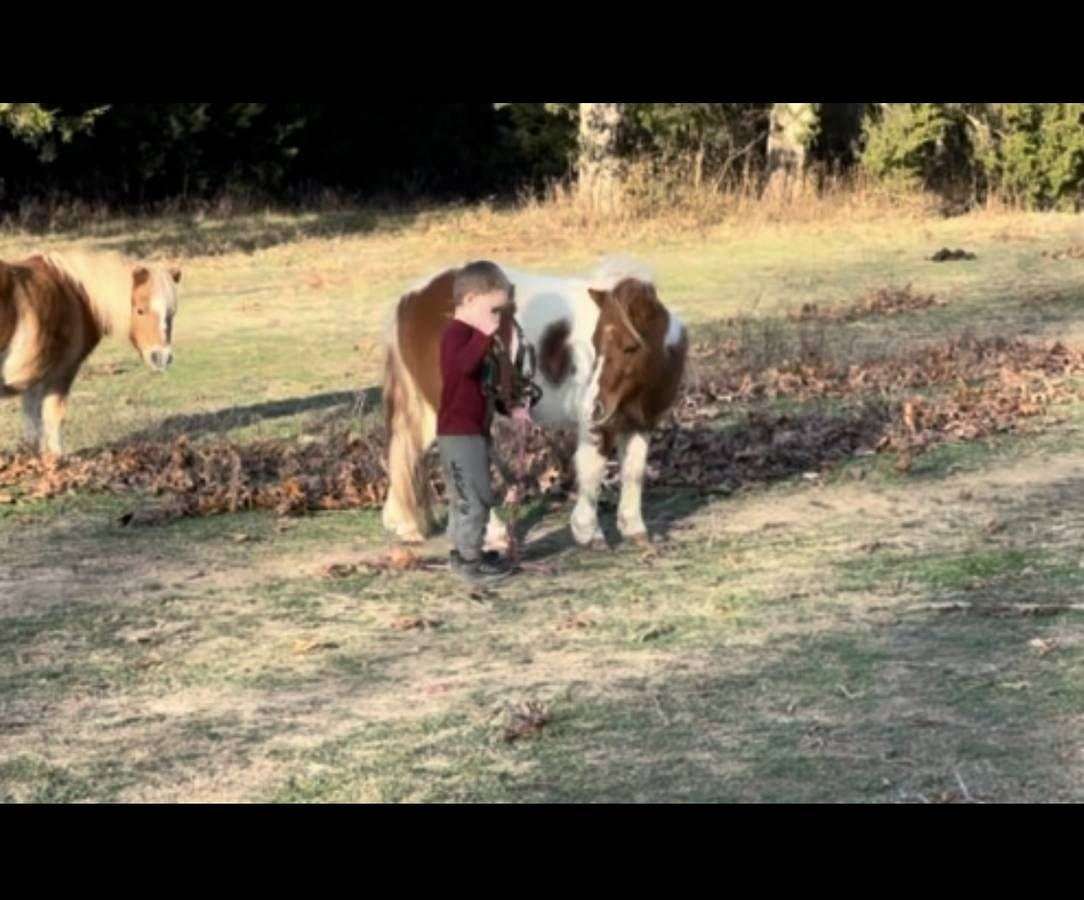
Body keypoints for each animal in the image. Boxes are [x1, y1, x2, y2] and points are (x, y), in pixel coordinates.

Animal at [0, 250, 181, 456]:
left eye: (172, 312)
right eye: (140, 310)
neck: (76, 294)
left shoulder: (35, 380)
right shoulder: (61, 374)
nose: (162, 357)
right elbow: (53, 419)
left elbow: (33, 425)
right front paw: (55, 458)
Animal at [381, 259, 688, 550]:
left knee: (410, 454)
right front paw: (589, 533)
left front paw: (635, 529)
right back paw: (494, 534)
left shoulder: (640, 422)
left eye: (630, 347)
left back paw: (406, 525)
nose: (594, 404)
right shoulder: (599, 425)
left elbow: (633, 472)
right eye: (596, 342)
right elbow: (592, 470)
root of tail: (413, 297)